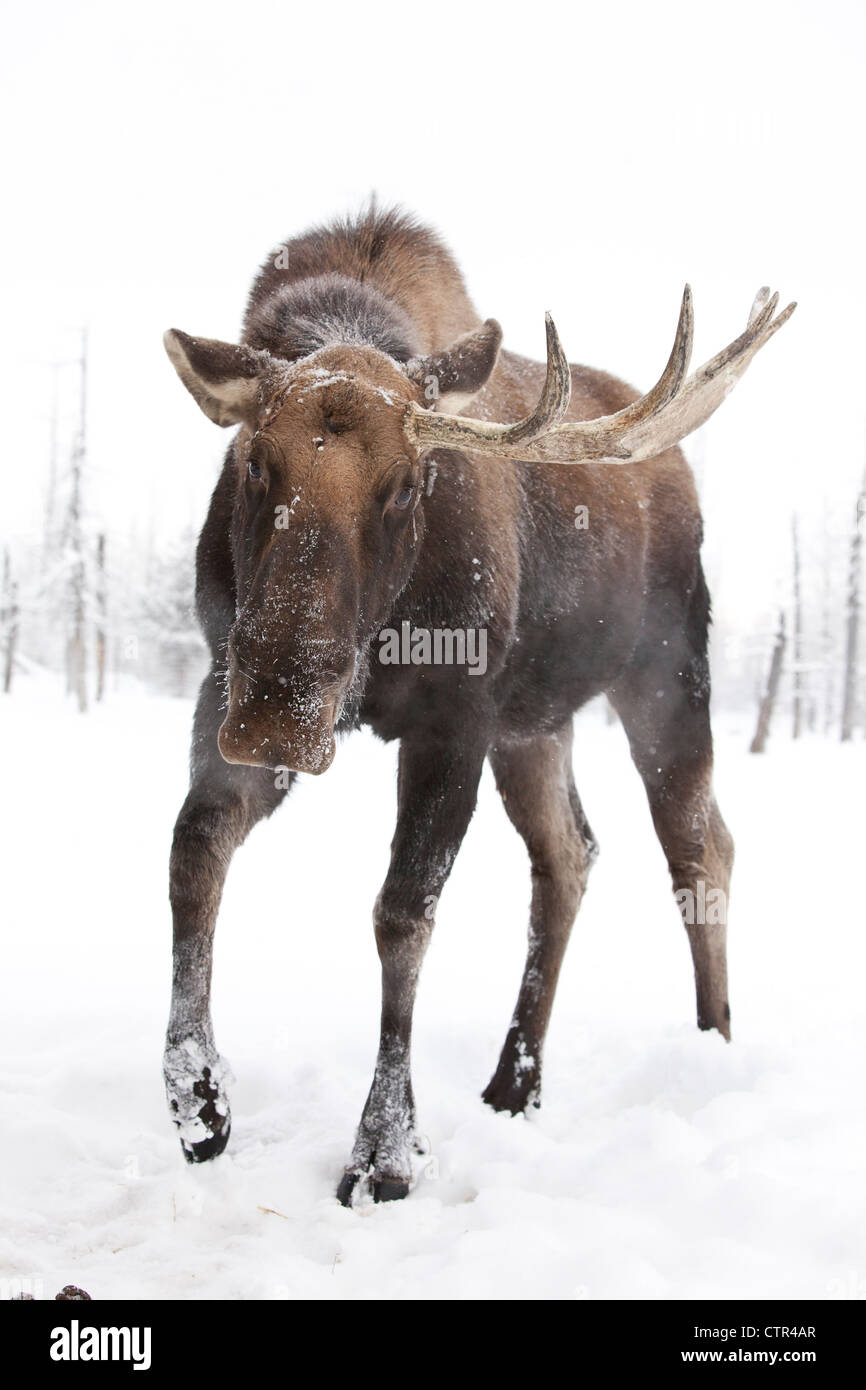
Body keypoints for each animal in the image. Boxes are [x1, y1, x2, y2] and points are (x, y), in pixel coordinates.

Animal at [162, 207, 794, 1203]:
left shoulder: (452, 721)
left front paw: (385, 1152)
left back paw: (713, 1043)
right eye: (255, 463)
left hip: (666, 673)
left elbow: (402, 914)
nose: (277, 716)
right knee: (570, 852)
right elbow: (193, 853)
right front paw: (199, 1100)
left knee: (700, 845)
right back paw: (516, 1079)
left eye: (407, 483)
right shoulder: (218, 682)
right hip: (535, 723)